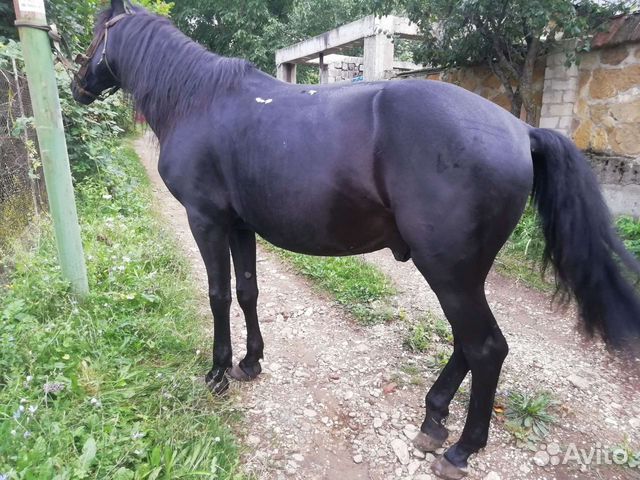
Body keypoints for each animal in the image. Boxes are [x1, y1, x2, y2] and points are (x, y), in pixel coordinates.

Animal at [72, 1, 640, 478]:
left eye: (98, 32)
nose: (77, 85)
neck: (199, 101)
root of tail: (522, 131)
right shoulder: (239, 226)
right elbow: (247, 290)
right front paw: (251, 362)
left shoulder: (206, 221)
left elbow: (217, 294)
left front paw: (217, 372)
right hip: (463, 272)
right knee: (469, 344)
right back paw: (434, 419)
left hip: (448, 270)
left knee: (485, 348)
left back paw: (462, 447)